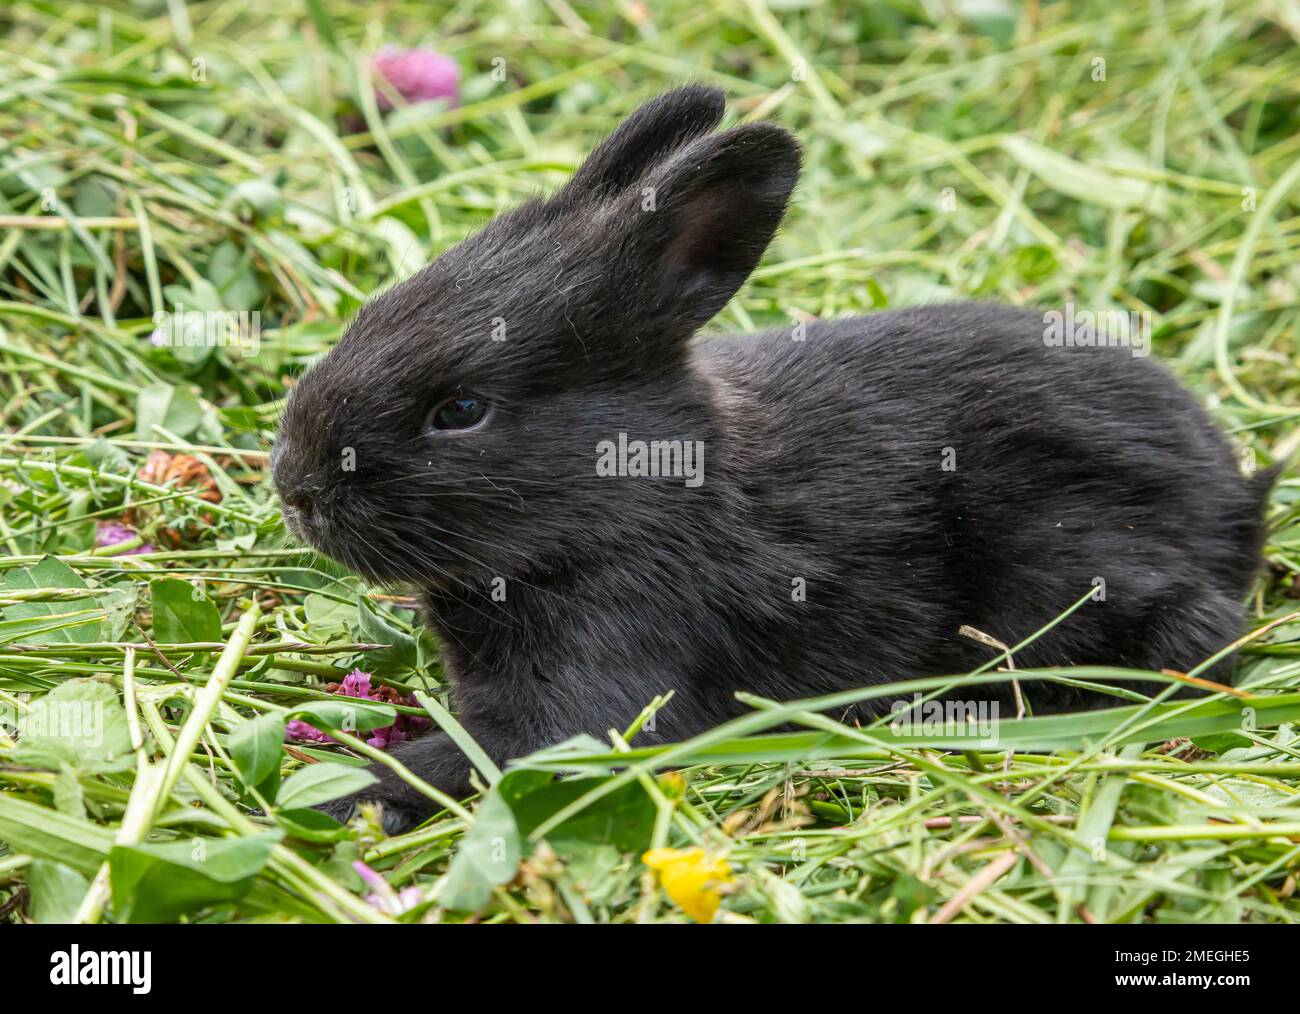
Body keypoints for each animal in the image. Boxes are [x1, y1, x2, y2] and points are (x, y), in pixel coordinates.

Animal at [271, 85, 1274, 834]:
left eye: (462, 410)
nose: (295, 486)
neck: (644, 495)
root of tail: (1234, 500)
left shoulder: (601, 686)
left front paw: (338, 789)